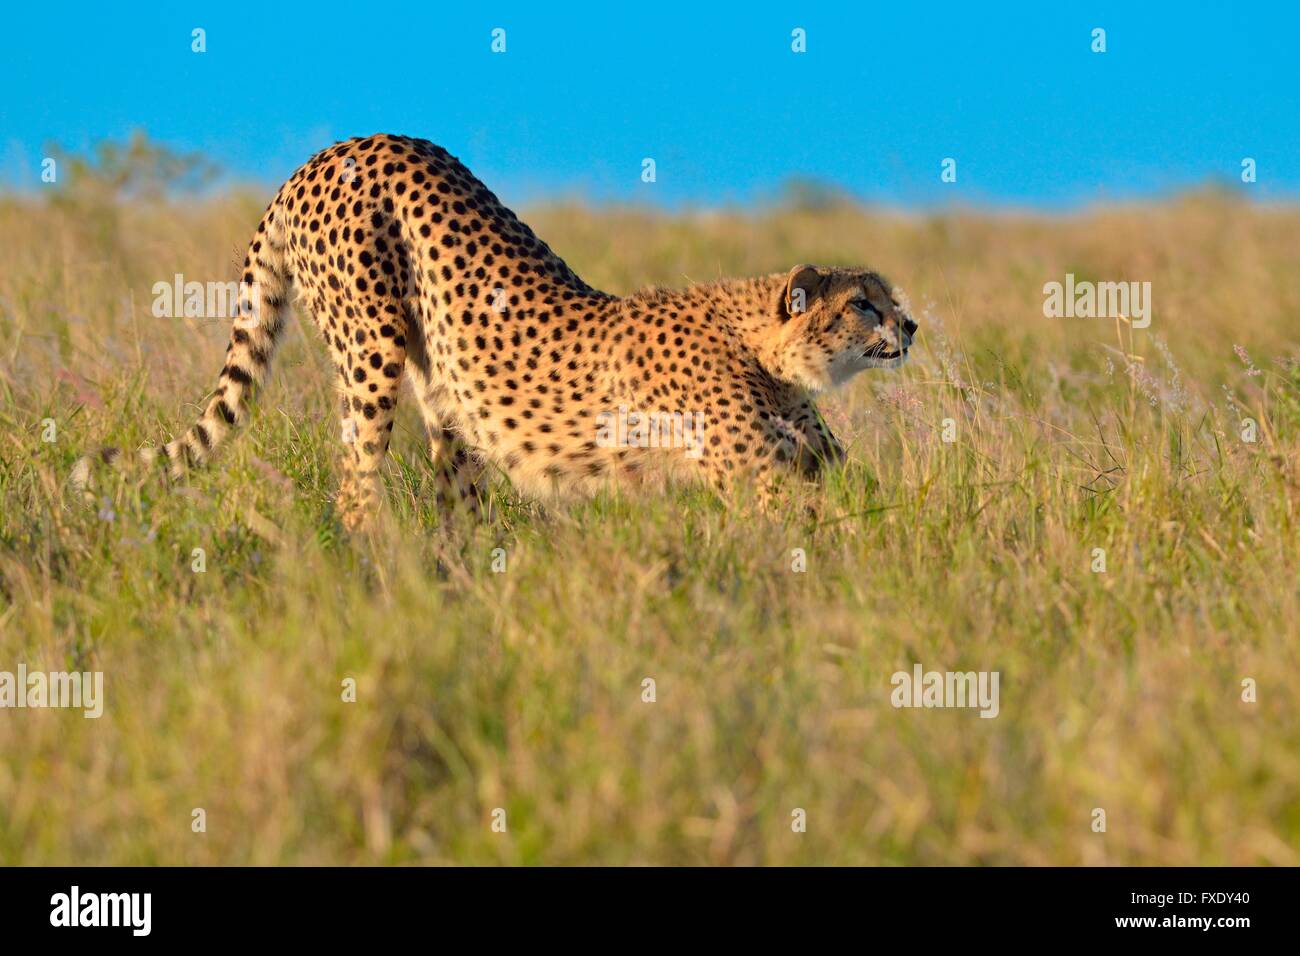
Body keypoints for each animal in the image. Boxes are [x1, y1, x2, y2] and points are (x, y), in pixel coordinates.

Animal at [73, 134, 917, 529]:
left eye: (888, 297)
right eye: (864, 304)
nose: (910, 324)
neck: (760, 344)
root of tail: (329, 150)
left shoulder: (808, 456)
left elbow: (852, 495)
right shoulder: (751, 472)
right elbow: (804, 535)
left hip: (442, 392)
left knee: (454, 497)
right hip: (371, 350)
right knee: (354, 493)